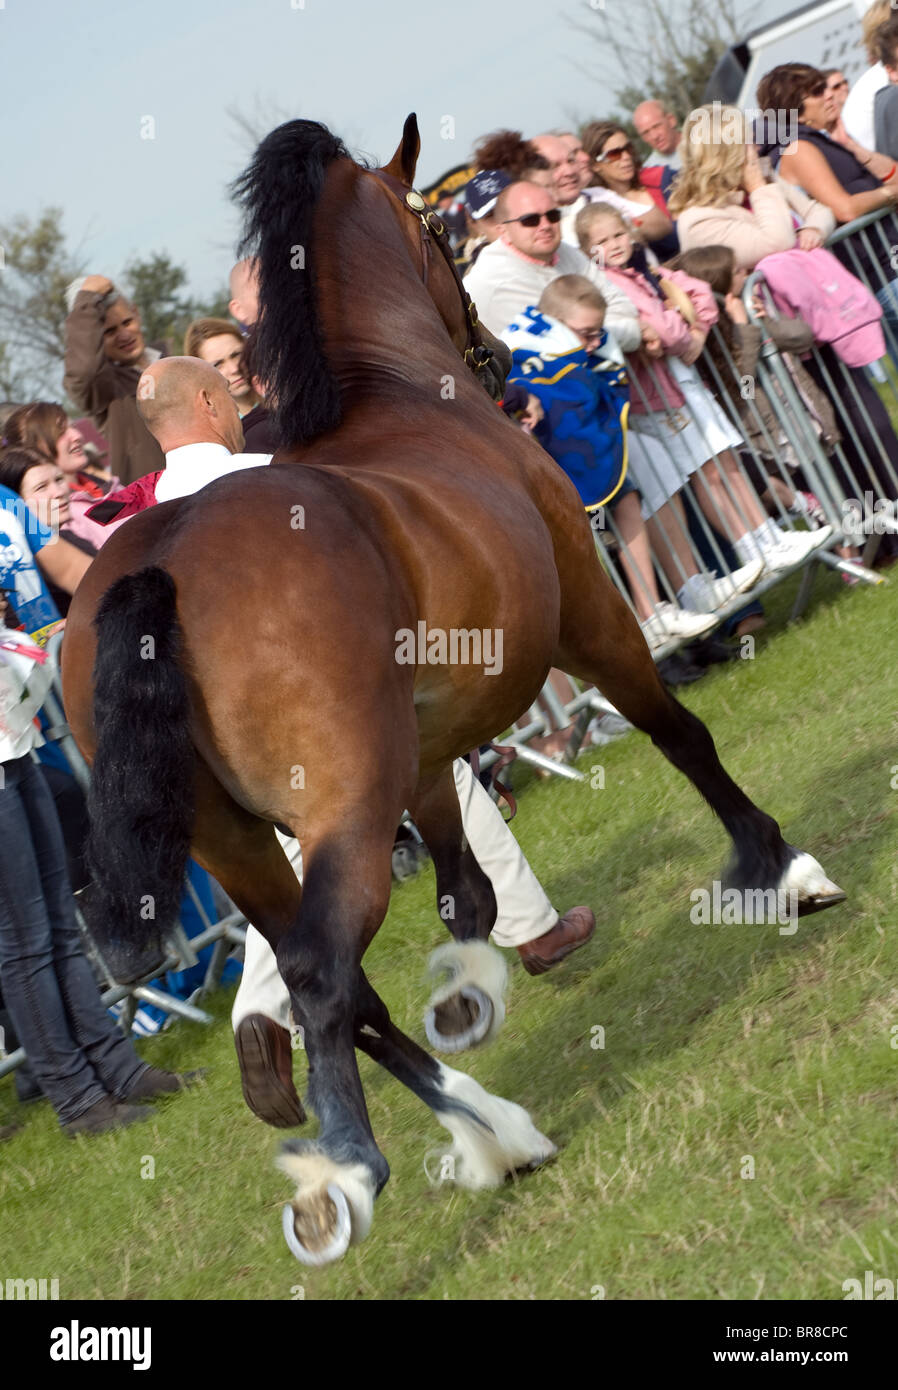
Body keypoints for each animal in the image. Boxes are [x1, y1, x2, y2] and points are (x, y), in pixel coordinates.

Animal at [61, 114, 845, 1267]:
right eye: (441, 224)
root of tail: (154, 563)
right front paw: (779, 867)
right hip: (339, 802)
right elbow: (677, 731)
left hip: (235, 837)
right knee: (323, 971)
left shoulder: (427, 757)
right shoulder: (589, 612)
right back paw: (343, 1174)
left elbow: (464, 887)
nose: (504, 359)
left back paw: (491, 1132)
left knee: (337, 982)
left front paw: (472, 989)